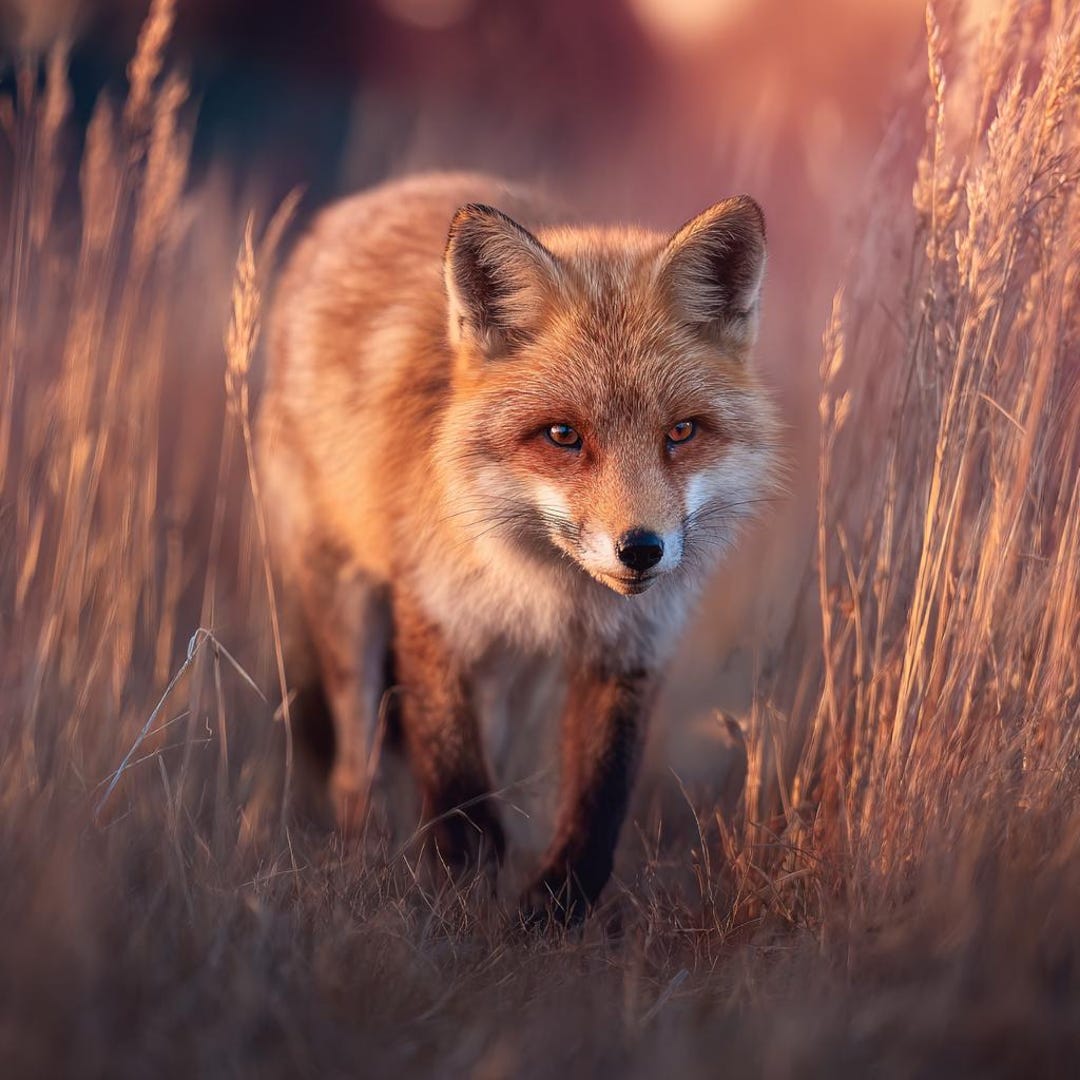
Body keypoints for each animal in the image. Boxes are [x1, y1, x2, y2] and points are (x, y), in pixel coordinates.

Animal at [256, 172, 782, 922]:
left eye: (681, 432)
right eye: (563, 436)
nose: (641, 550)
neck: (553, 588)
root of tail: (366, 200)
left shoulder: (632, 648)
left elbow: (598, 803)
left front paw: (552, 914)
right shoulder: (435, 616)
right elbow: (458, 790)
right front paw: (461, 903)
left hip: (519, 676)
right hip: (349, 608)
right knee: (354, 763)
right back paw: (361, 851)